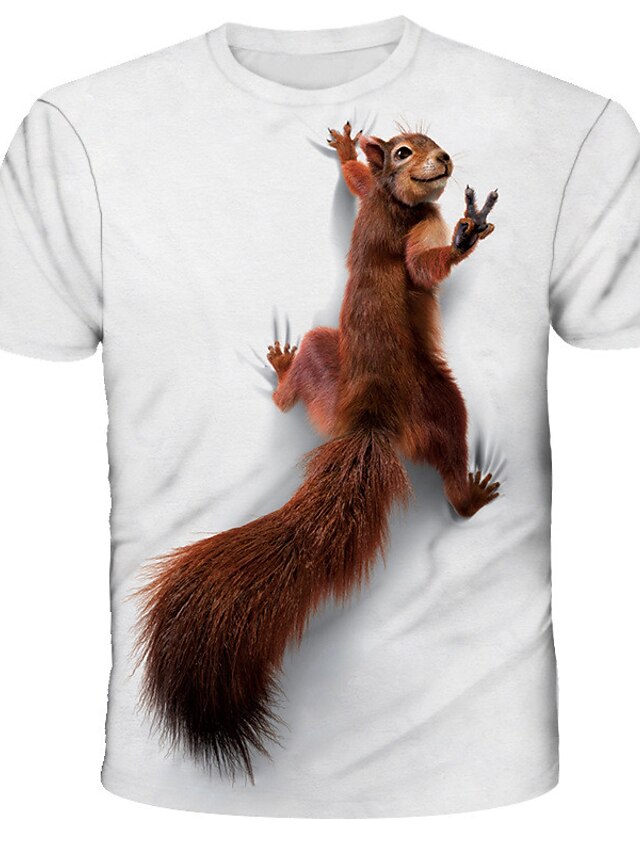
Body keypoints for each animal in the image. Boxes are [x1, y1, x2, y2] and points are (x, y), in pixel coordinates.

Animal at [134, 122, 500, 781]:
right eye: (404, 150)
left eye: (430, 140)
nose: (444, 160)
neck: (396, 202)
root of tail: (368, 423)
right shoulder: (416, 231)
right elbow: (423, 268)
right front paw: (464, 234)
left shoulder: (372, 200)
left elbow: (354, 183)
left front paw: (348, 151)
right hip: (438, 400)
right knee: (449, 457)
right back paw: (467, 493)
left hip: (326, 366)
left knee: (296, 394)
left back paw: (285, 374)